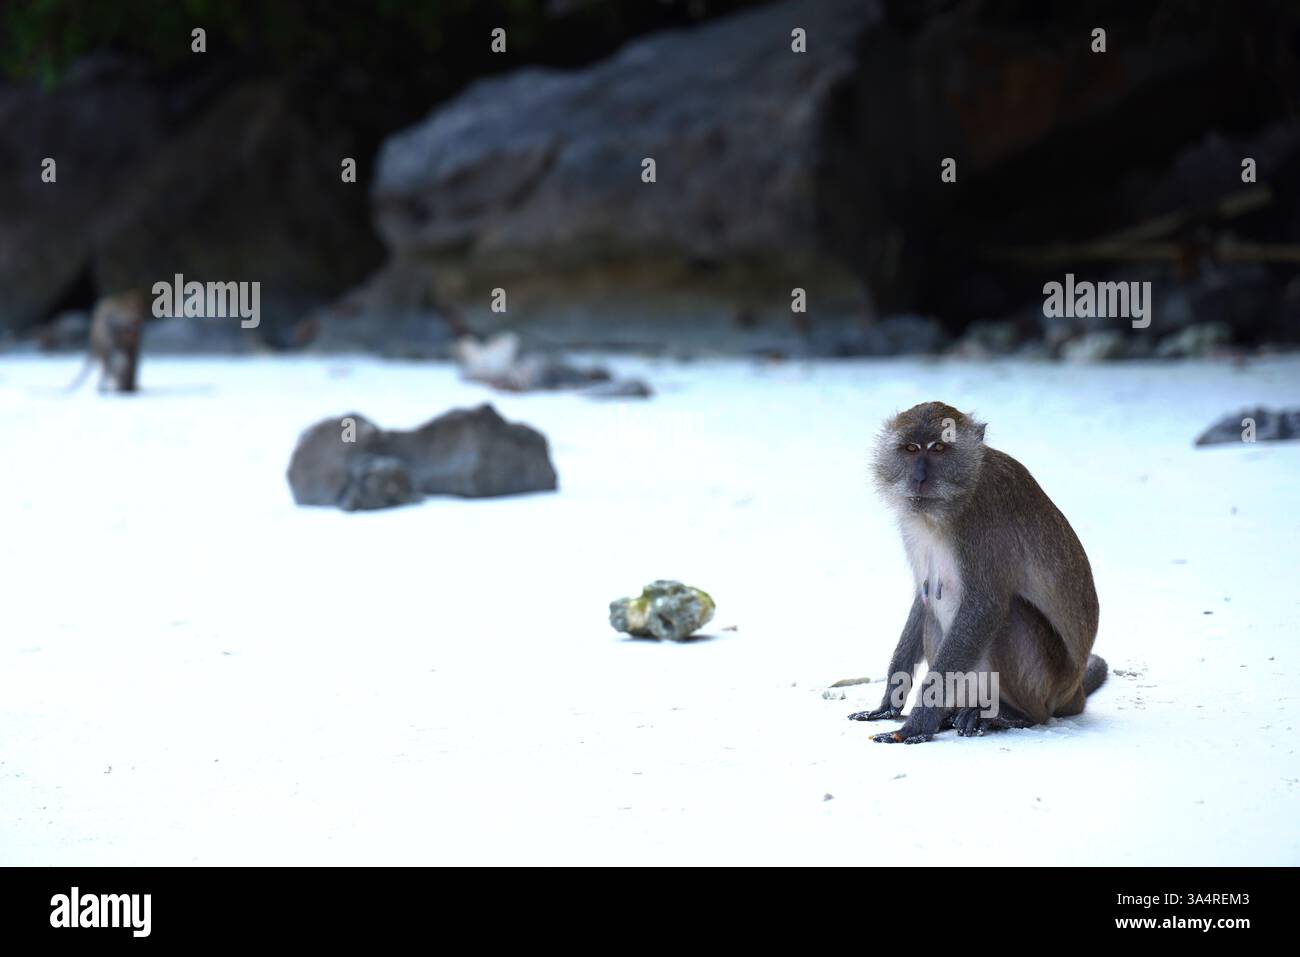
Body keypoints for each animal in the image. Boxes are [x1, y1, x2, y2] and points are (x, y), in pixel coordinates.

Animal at [848, 401, 1106, 743]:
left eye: (939, 448)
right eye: (911, 448)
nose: (919, 478)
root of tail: (1073, 692)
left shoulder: (984, 522)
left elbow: (984, 607)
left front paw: (916, 725)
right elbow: (923, 596)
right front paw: (889, 703)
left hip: (1045, 685)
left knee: (1010, 614)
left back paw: (1010, 714)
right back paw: (954, 712)